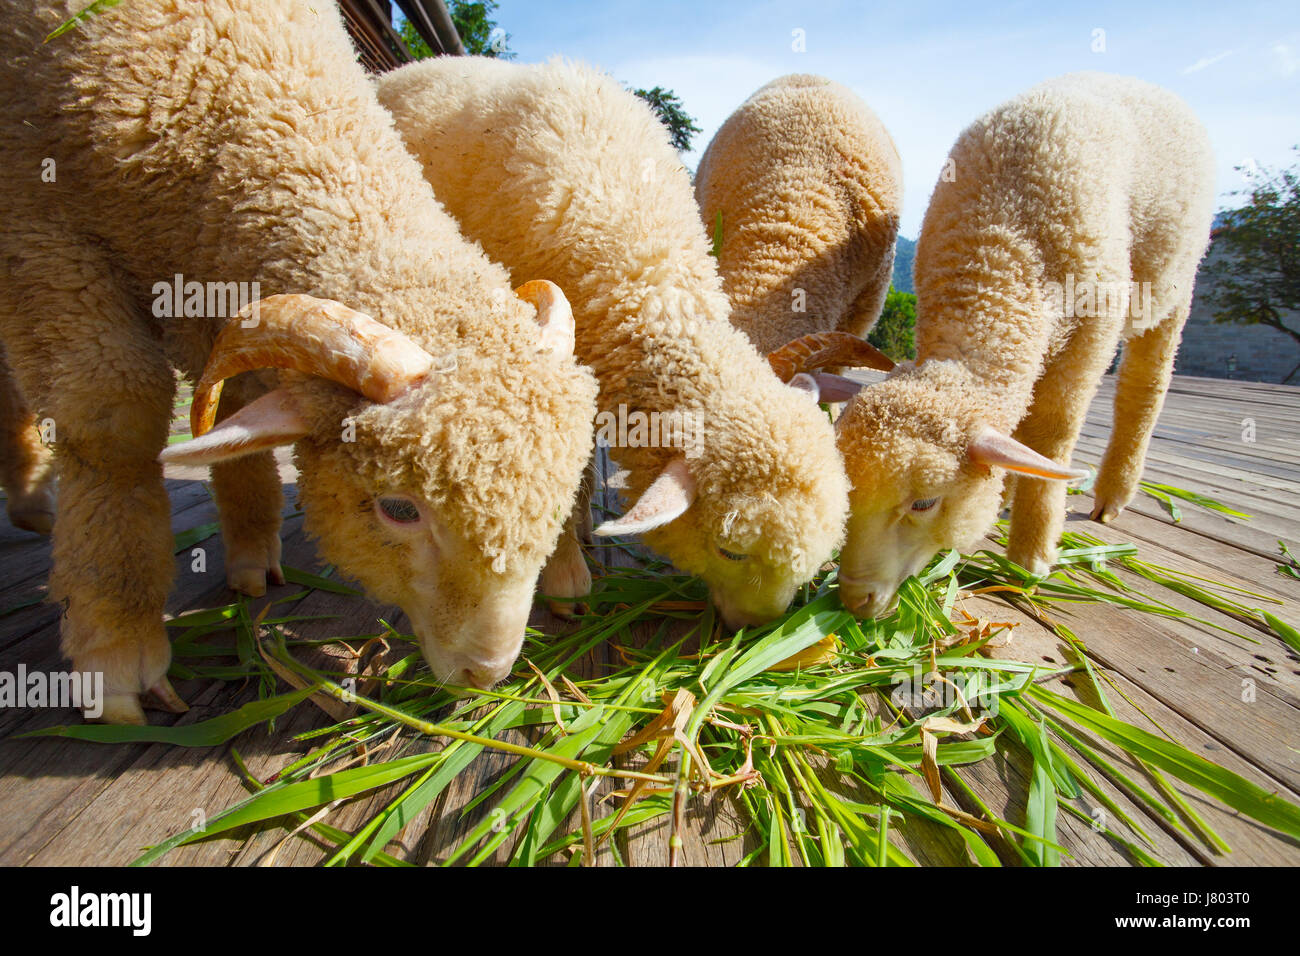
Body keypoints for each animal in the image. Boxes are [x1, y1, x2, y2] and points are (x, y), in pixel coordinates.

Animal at [0, 2, 598, 723]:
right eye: (398, 509)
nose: (488, 674)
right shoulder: (40, 228)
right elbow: (112, 418)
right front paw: (117, 644)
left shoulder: (213, 291)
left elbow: (232, 413)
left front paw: (252, 552)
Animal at [824, 72, 1215, 617]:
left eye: (924, 502)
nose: (854, 600)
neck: (999, 249)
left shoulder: (1091, 332)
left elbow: (1053, 431)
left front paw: (1032, 555)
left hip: (1175, 284)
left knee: (1145, 386)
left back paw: (1113, 493)